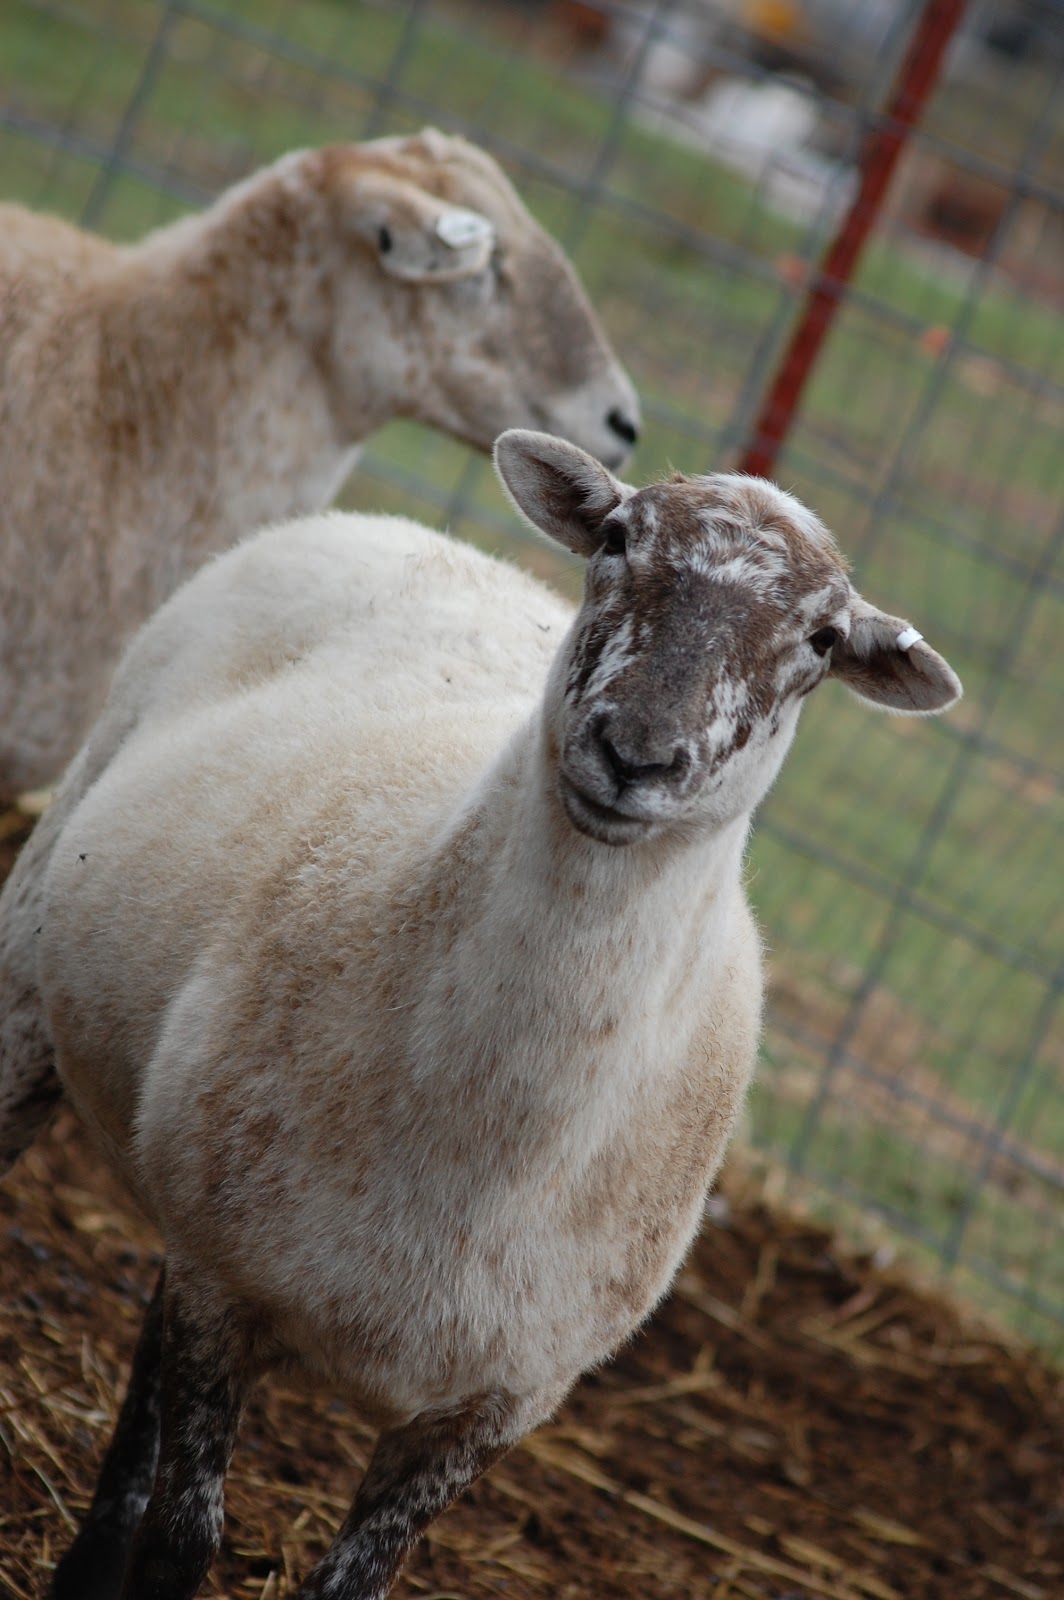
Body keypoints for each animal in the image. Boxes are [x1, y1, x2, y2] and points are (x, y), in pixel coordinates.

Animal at [0, 431, 961, 1600]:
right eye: (615, 537)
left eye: (822, 639)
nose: (636, 754)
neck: (493, 1134)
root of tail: (415, 533)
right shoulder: (225, 1285)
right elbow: (183, 1544)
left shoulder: (497, 1399)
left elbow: (351, 1583)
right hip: (34, 982)